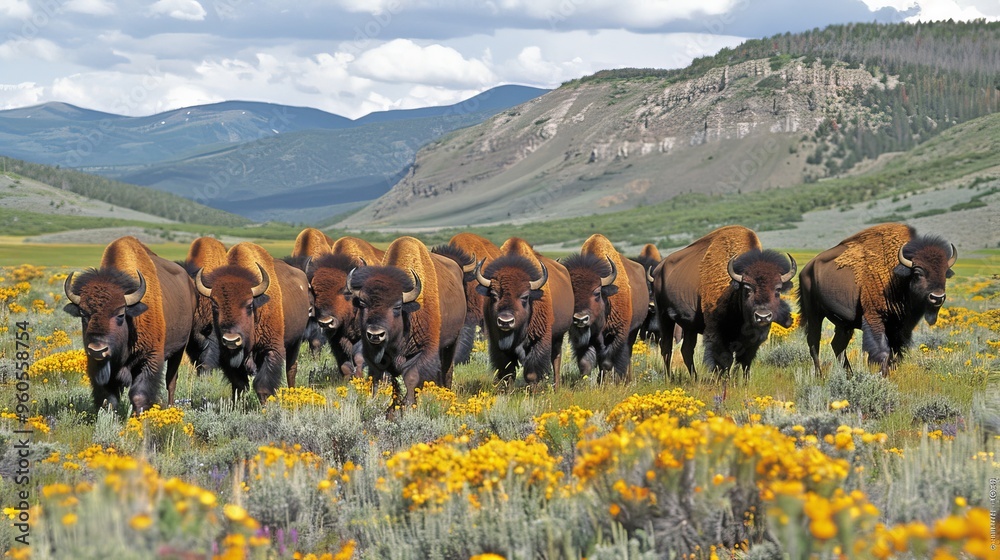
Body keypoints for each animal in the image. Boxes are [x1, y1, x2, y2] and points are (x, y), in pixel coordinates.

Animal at [64, 236, 195, 413]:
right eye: (83, 313)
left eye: (120, 314)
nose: (98, 349)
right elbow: (108, 398)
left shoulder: (151, 359)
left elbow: (139, 395)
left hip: (179, 350)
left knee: (171, 381)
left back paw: (171, 407)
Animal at [195, 242, 311, 403]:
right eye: (215, 305)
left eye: (249, 305)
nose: (231, 340)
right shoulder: (227, 356)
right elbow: (239, 384)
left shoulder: (271, 349)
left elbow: (262, 385)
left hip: (296, 341)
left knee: (291, 369)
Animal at [475, 238, 573, 390]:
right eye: (494, 295)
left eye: (525, 296)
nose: (505, 321)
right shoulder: (498, 344)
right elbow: (508, 372)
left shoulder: (538, 340)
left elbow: (531, 374)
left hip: (558, 336)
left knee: (556, 359)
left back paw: (556, 387)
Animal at [652, 225, 795, 381]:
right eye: (747, 289)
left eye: (778, 289)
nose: (762, 316)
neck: (733, 288)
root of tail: (659, 268)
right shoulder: (719, 334)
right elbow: (724, 360)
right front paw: (724, 381)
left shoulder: (752, 340)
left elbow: (745, 362)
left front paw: (745, 382)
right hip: (664, 317)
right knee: (666, 348)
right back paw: (669, 378)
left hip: (689, 325)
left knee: (686, 350)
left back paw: (695, 379)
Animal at [798, 223, 957, 375]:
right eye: (918, 273)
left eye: (945, 273)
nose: (937, 297)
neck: (897, 277)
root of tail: (806, 269)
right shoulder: (875, 319)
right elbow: (882, 352)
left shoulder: (900, 328)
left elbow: (895, 354)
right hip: (814, 314)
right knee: (814, 341)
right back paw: (820, 375)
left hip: (844, 323)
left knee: (837, 345)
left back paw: (850, 375)